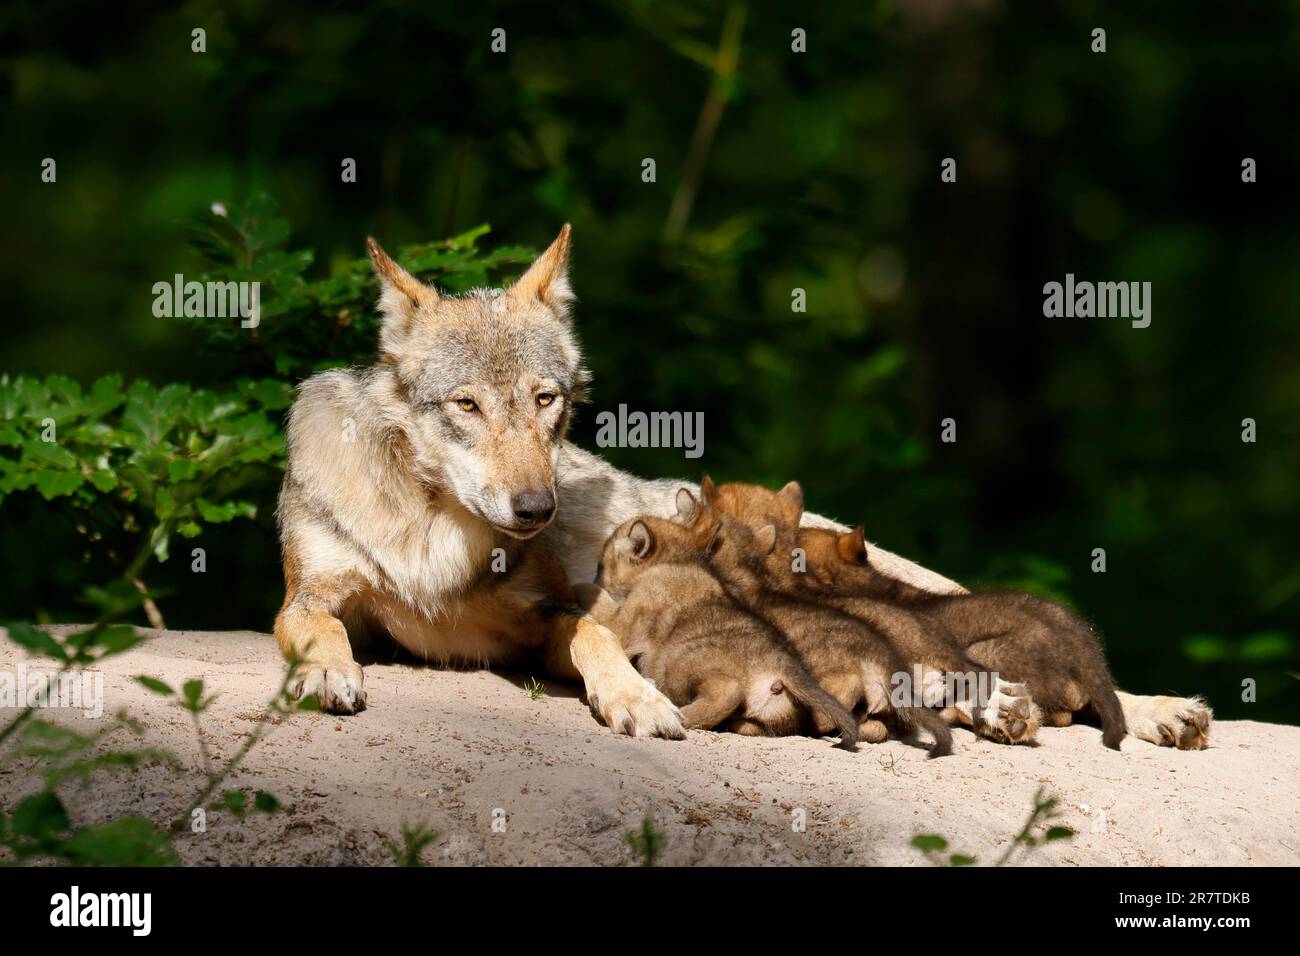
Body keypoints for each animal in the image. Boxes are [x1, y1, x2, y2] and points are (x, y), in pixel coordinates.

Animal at [273, 225, 1213, 748]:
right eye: (466, 405)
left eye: (546, 402)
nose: (538, 509)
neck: (436, 535)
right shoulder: (306, 596)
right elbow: (320, 629)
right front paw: (330, 676)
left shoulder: (553, 620)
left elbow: (596, 640)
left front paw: (636, 700)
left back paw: (1152, 710)